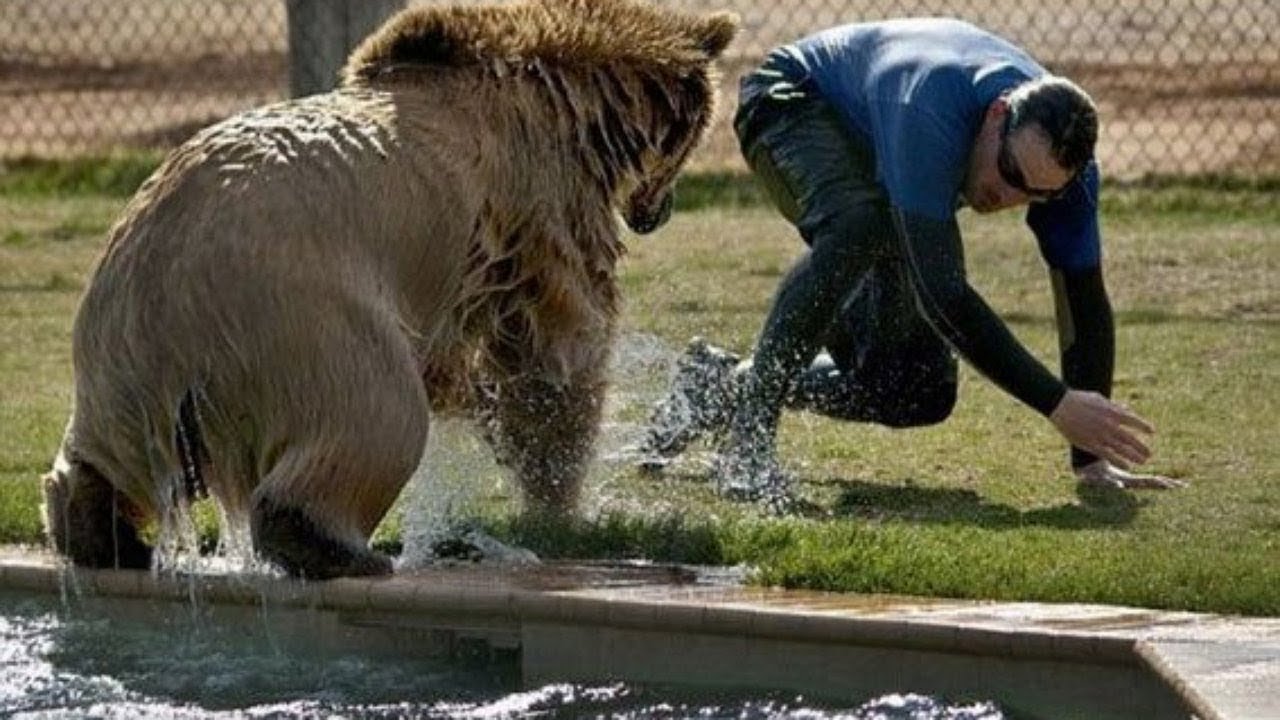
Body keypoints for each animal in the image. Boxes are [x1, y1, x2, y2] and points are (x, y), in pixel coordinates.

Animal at [41, 0, 738, 579]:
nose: (657, 213)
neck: (576, 105)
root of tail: (171, 283)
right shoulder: (535, 207)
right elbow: (555, 350)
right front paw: (560, 501)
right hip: (306, 317)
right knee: (375, 420)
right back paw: (336, 547)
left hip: (122, 352)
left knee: (109, 453)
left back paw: (98, 532)